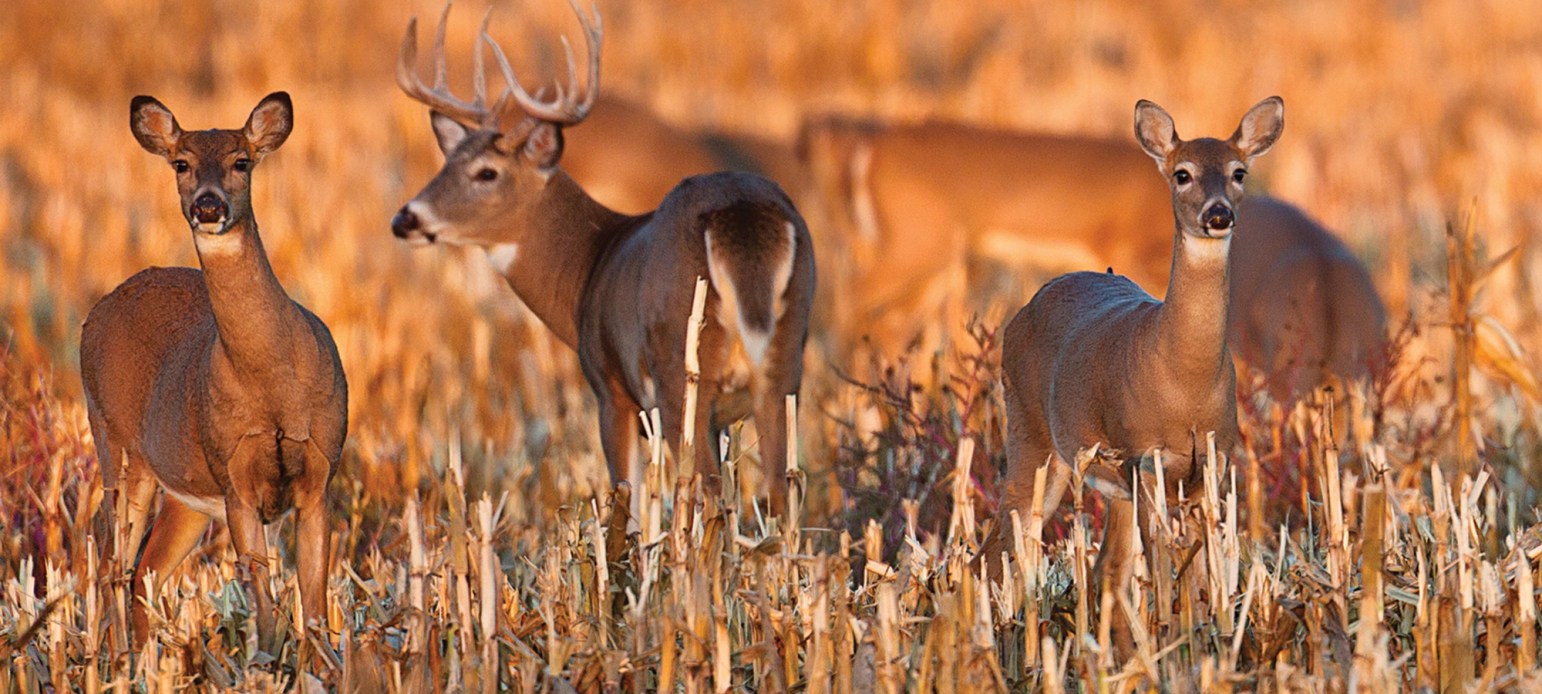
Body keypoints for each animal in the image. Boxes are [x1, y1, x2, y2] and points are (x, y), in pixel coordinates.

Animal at [80, 92, 347, 649]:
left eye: (241, 161)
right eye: (180, 164)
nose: (208, 205)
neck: (273, 386)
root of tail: (96, 312)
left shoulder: (320, 473)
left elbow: (313, 608)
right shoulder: (234, 479)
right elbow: (265, 609)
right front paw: (267, 659)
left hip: (184, 493)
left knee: (145, 571)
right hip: (115, 442)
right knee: (111, 555)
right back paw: (115, 657)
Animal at [388, 1, 815, 510]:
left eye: (486, 173)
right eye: (447, 162)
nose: (405, 219)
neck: (591, 265)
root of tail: (739, 211)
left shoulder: (611, 391)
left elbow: (626, 498)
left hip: (681, 370)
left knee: (708, 489)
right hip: (784, 368)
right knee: (782, 489)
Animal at [982, 97, 1285, 659]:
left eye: (1239, 172)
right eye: (1182, 173)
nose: (1218, 215)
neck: (1183, 380)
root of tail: (1024, 309)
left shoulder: (1212, 461)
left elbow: (1202, 574)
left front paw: (1203, 646)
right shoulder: (1146, 456)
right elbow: (1165, 572)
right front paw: (1172, 644)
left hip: (1110, 480)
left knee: (1107, 568)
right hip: (1034, 438)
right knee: (998, 551)